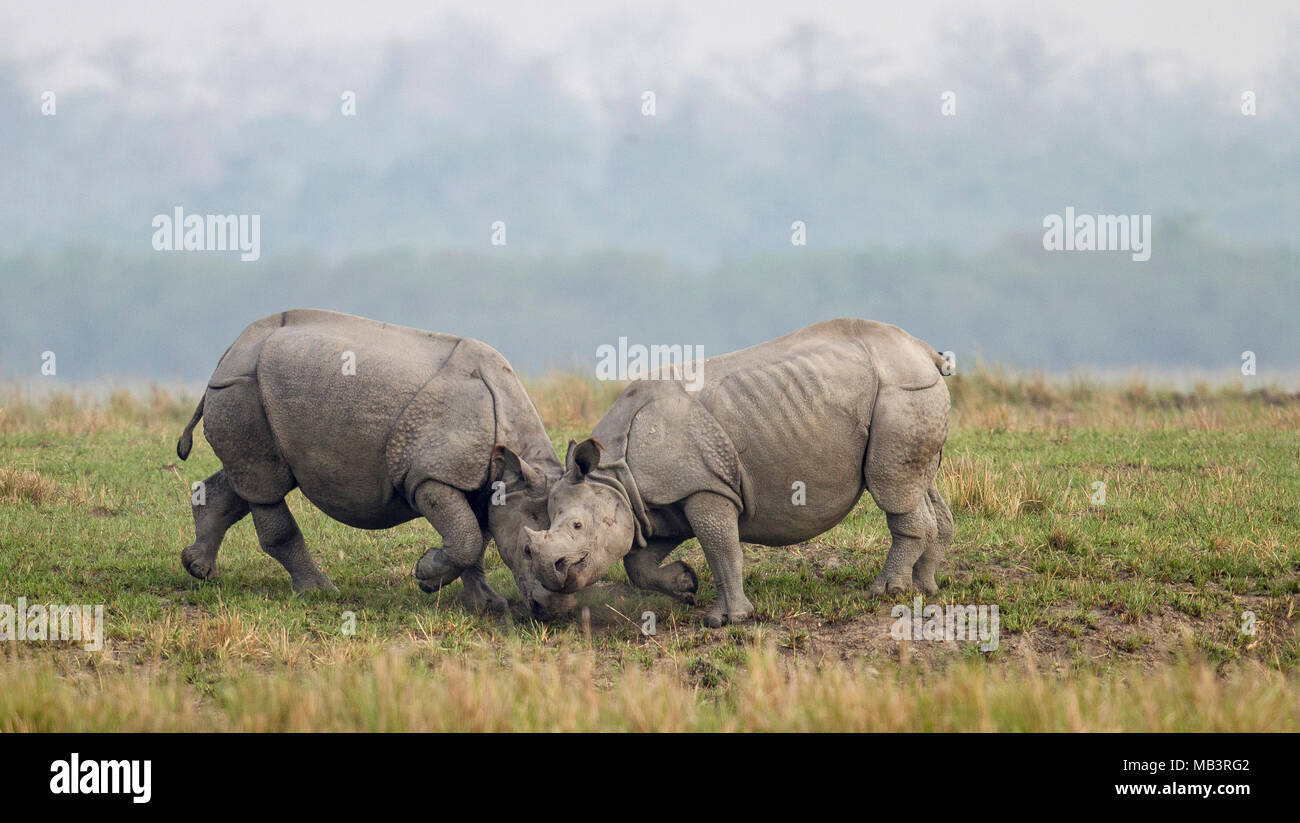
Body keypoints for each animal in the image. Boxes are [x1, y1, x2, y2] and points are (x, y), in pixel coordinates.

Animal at [176, 309, 572, 615]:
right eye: (527, 551)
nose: (552, 610)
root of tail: (231, 349)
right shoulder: (429, 476)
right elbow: (467, 537)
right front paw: (426, 574)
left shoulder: (485, 483)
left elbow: (478, 538)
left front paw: (485, 604)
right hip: (243, 387)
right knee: (266, 486)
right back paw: (320, 592)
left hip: (247, 389)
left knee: (248, 481)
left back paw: (200, 569)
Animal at [522, 318, 953, 627]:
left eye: (577, 527)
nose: (547, 571)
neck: (613, 474)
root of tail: (925, 353)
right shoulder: (657, 504)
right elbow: (638, 565)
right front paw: (685, 584)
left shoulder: (704, 488)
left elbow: (722, 549)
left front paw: (727, 620)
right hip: (910, 395)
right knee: (920, 485)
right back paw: (925, 588)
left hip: (902, 392)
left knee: (892, 488)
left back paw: (884, 592)